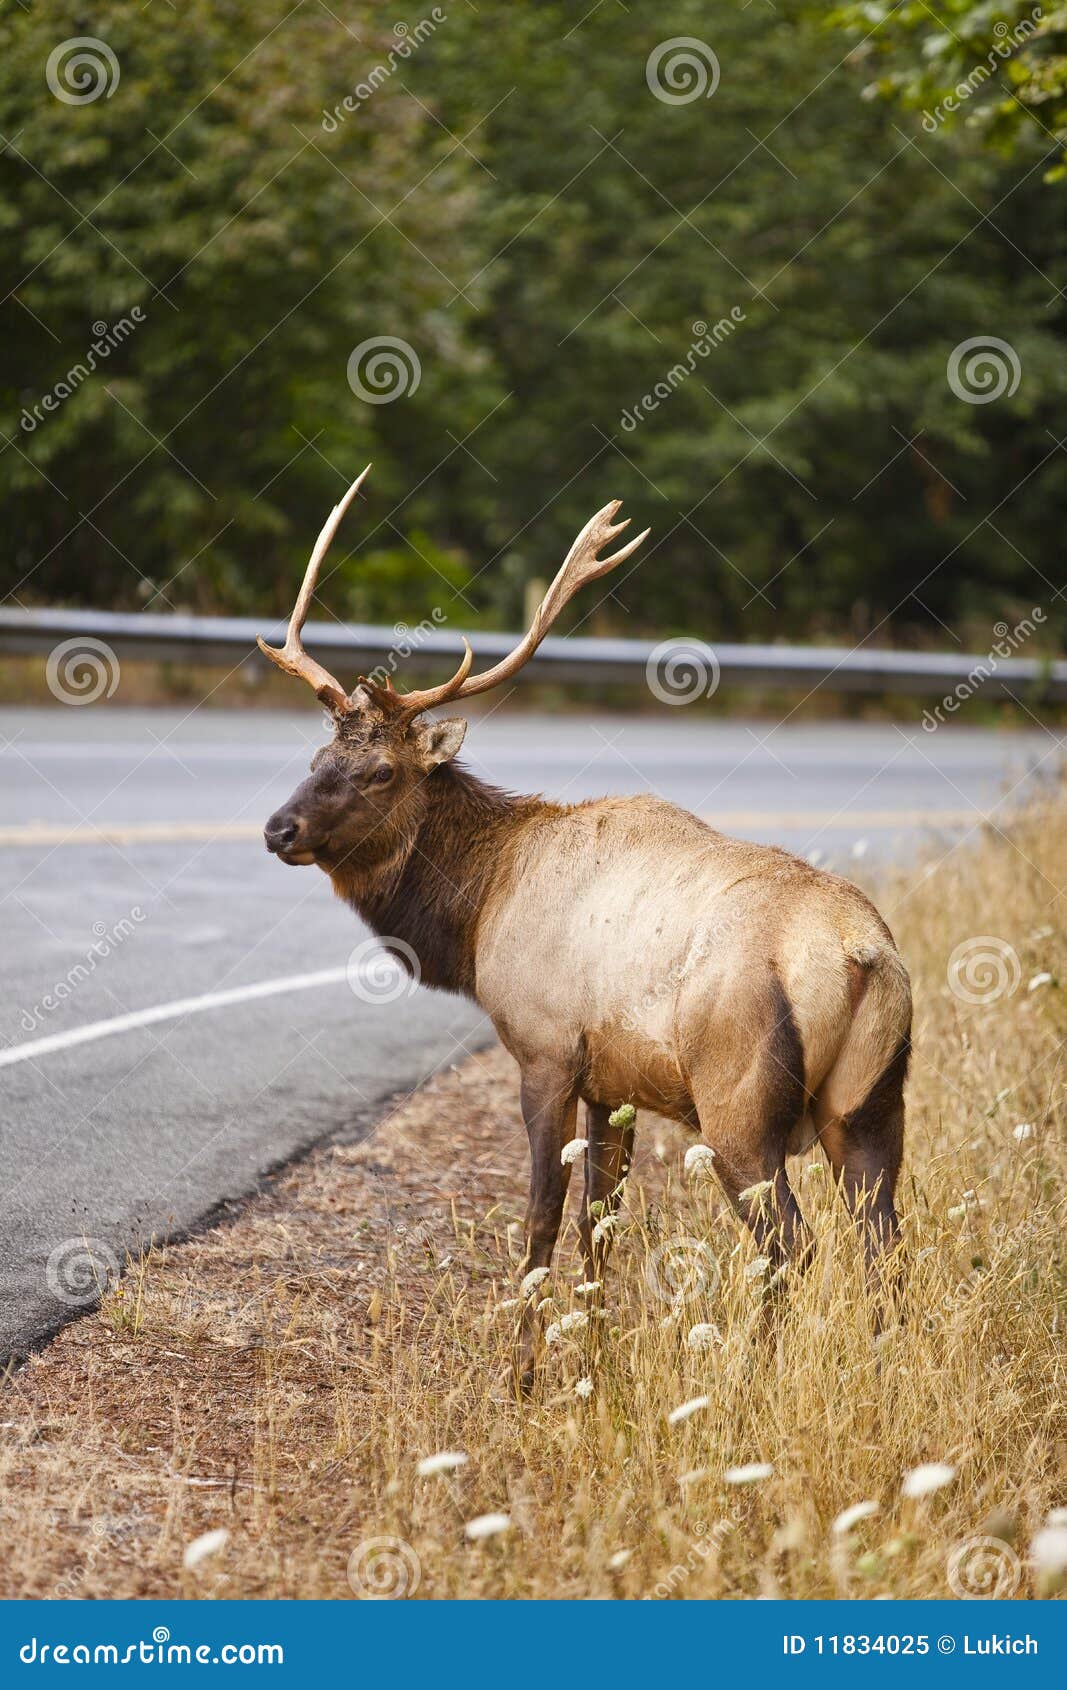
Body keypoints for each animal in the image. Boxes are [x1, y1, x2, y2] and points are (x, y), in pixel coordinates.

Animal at [260, 467, 911, 1391]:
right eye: (318, 761)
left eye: (380, 770)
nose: (278, 828)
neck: (479, 907)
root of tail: (863, 955)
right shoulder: (615, 1082)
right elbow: (596, 1223)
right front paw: (594, 1365)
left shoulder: (544, 1049)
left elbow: (538, 1219)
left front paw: (523, 1376)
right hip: (871, 1105)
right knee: (880, 1242)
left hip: (738, 1100)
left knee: (791, 1242)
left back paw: (754, 1377)